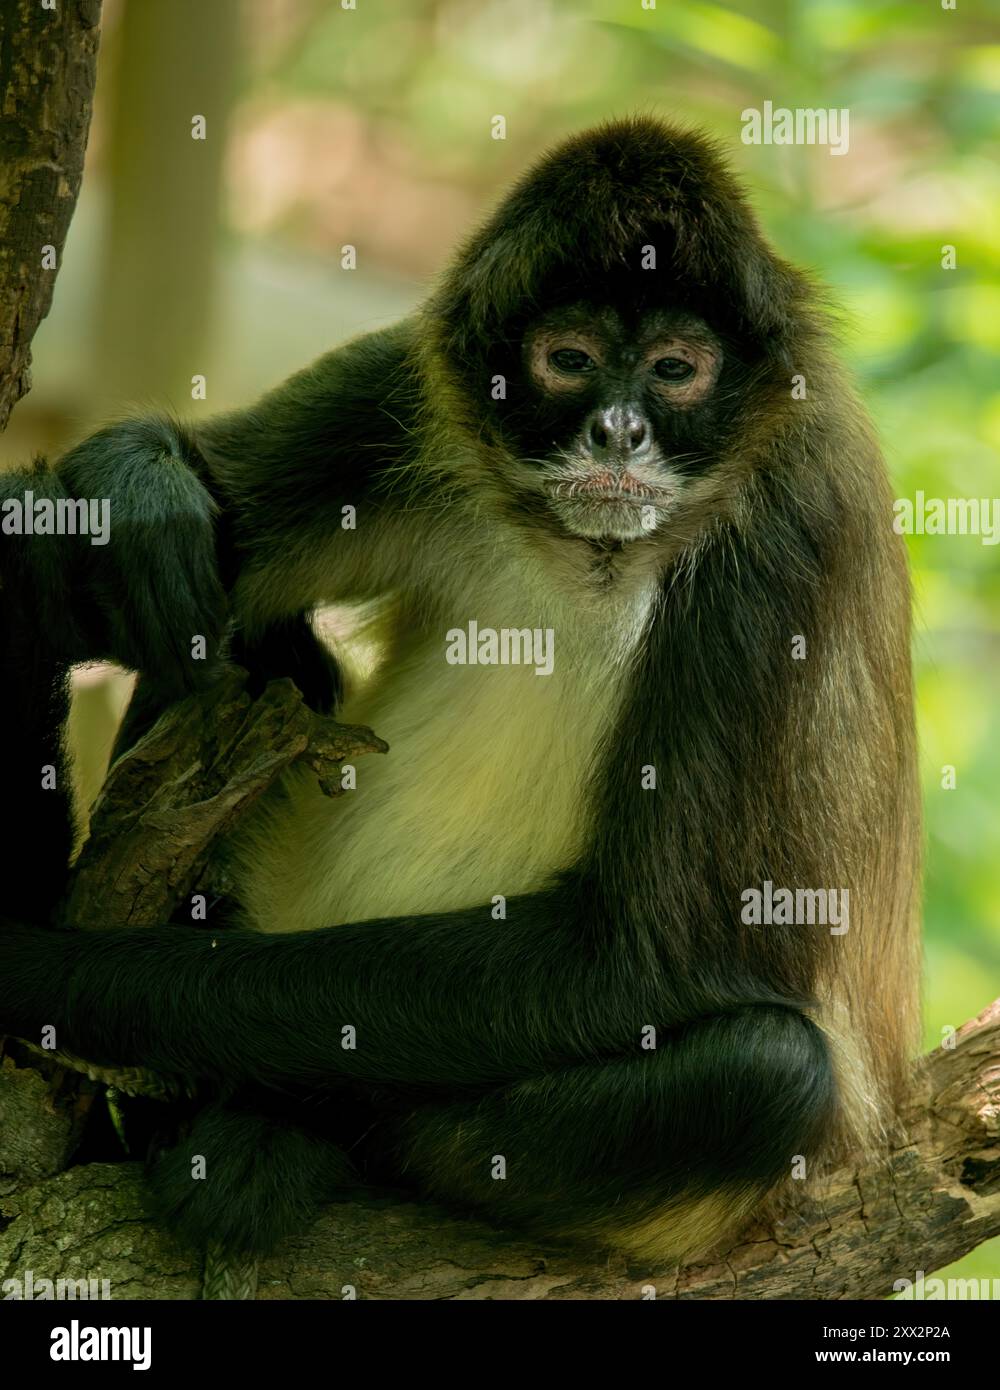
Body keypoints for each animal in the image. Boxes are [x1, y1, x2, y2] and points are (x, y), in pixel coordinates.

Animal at [0, 117, 920, 1265]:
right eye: (568, 360)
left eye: (676, 369)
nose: (618, 432)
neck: (595, 554)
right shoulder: (404, 389)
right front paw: (137, 482)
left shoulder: (791, 524)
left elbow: (642, 963)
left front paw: (44, 971)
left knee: (766, 1073)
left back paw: (289, 1131)